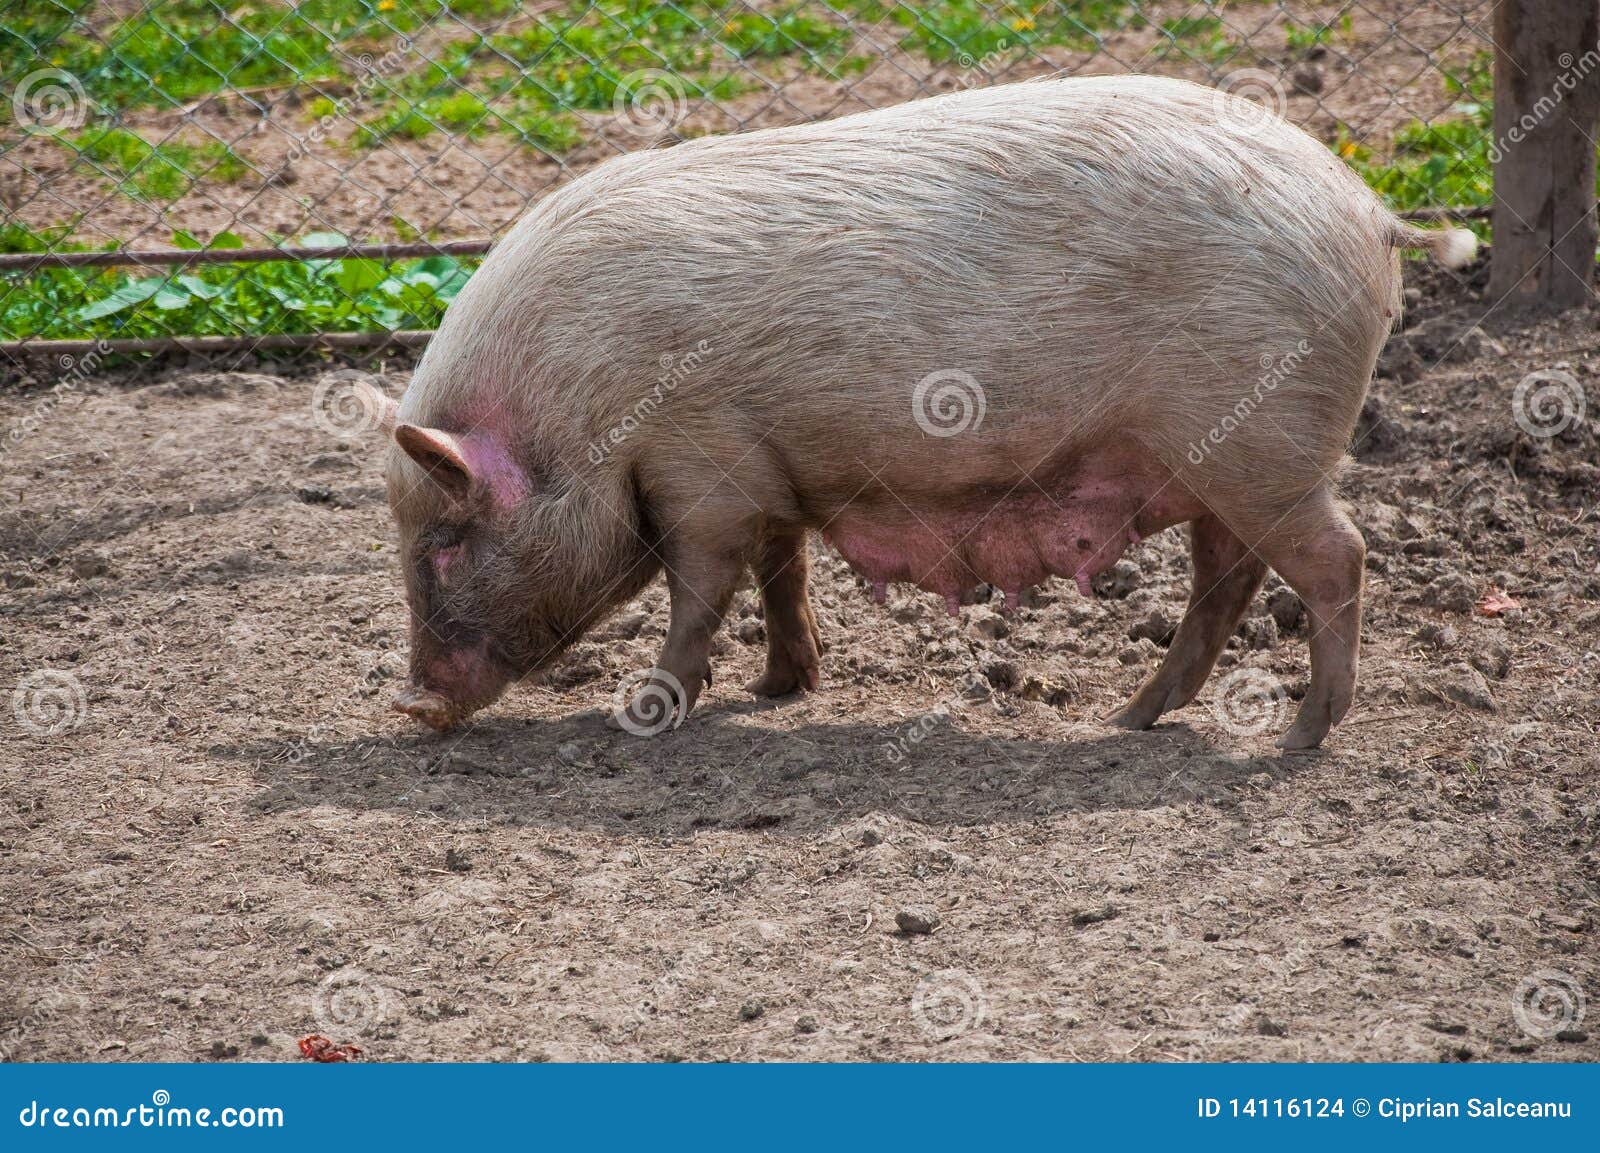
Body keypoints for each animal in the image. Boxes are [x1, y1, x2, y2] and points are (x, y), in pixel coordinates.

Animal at [361, 75, 1475, 749]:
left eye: (447, 543)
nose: (411, 702)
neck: (582, 409)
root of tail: (1370, 211)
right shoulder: (769, 468)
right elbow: (783, 569)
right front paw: (780, 689)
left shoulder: (700, 460)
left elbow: (702, 590)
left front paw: (643, 712)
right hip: (1218, 460)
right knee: (1227, 577)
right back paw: (1130, 720)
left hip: (1265, 442)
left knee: (1336, 557)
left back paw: (1299, 735)